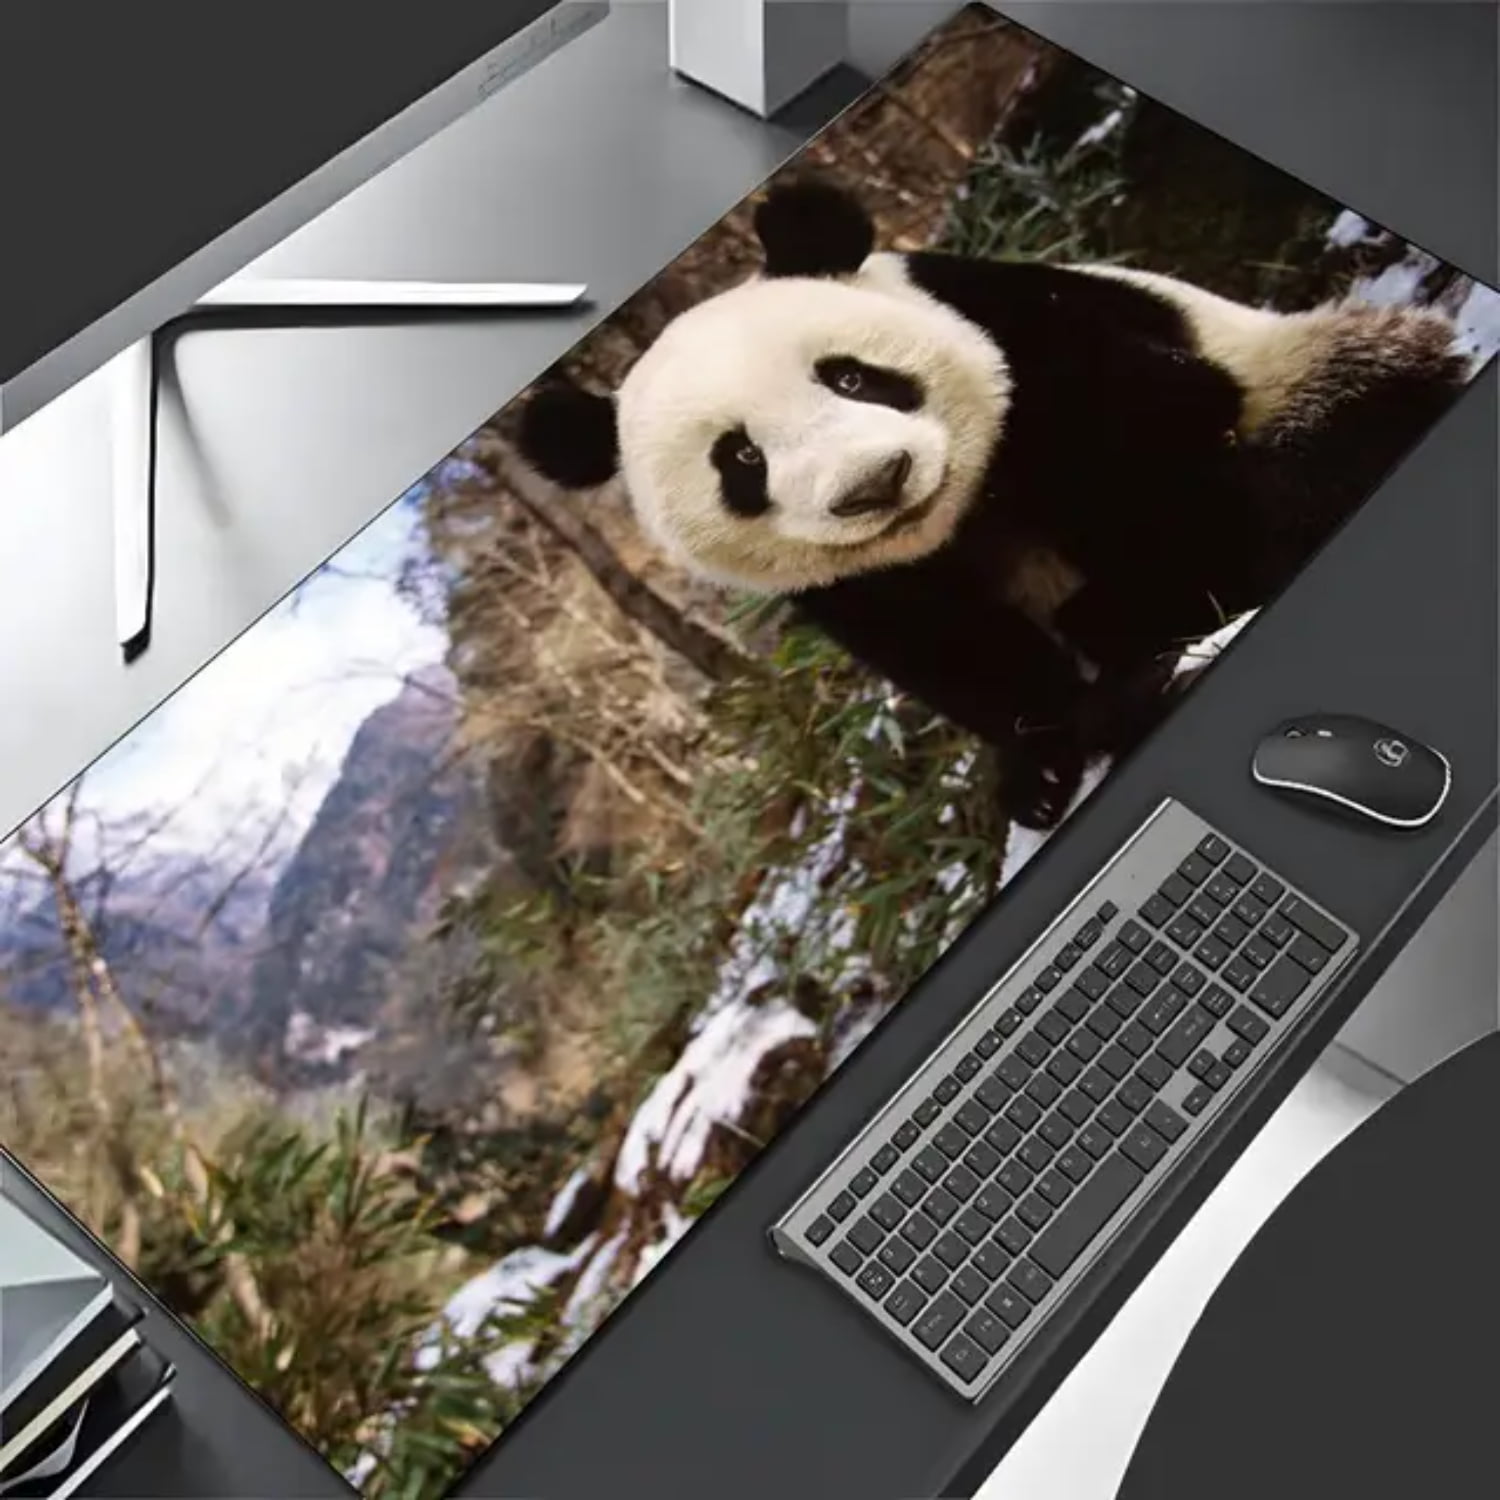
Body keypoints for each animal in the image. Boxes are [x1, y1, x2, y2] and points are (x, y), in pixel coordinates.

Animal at [515, 177, 1472, 829]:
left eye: (851, 376)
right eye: (742, 459)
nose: (875, 483)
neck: (961, 515)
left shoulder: (1024, 328)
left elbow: (1149, 438)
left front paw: (1131, 622)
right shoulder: (855, 584)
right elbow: (948, 645)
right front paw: (1044, 758)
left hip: (1300, 367)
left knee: (1338, 421)